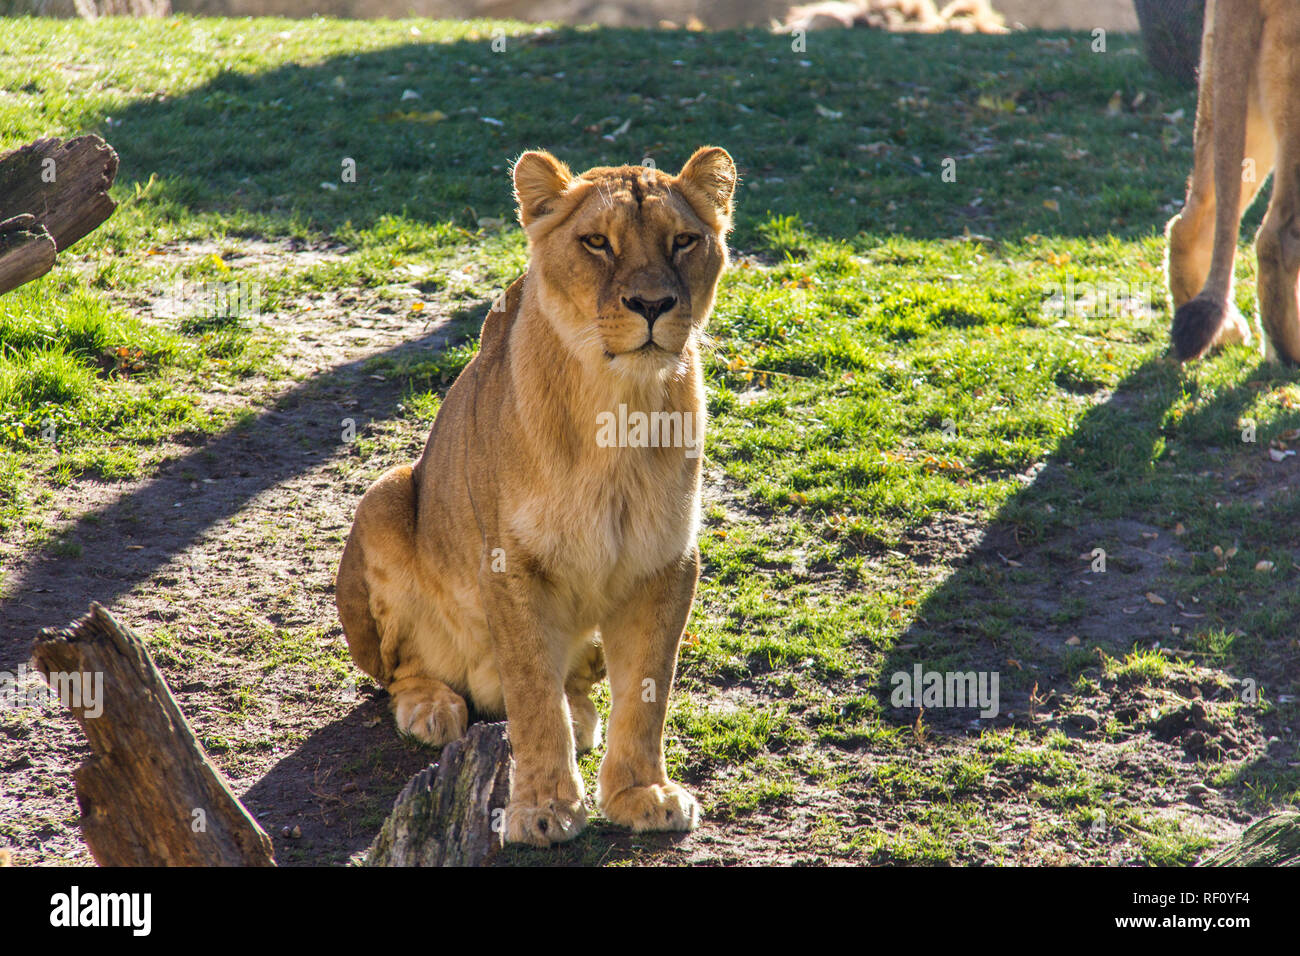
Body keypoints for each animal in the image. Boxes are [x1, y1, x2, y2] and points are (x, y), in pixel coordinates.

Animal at [335, 146, 736, 847]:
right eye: (597, 242)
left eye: (684, 241)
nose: (652, 304)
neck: (618, 409)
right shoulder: (511, 564)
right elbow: (530, 693)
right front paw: (546, 807)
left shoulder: (666, 562)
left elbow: (647, 691)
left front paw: (640, 794)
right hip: (385, 496)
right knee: (399, 672)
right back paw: (432, 707)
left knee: (574, 686)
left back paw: (581, 717)